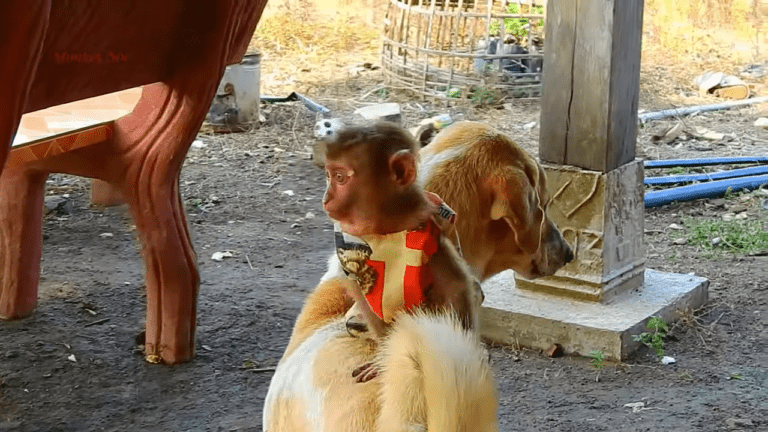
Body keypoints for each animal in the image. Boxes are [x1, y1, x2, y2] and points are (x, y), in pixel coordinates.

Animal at [321, 121, 482, 383]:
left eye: (340, 177)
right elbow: (363, 294)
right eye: (328, 175)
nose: (326, 199)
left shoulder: (430, 238)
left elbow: (456, 288)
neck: (386, 229)